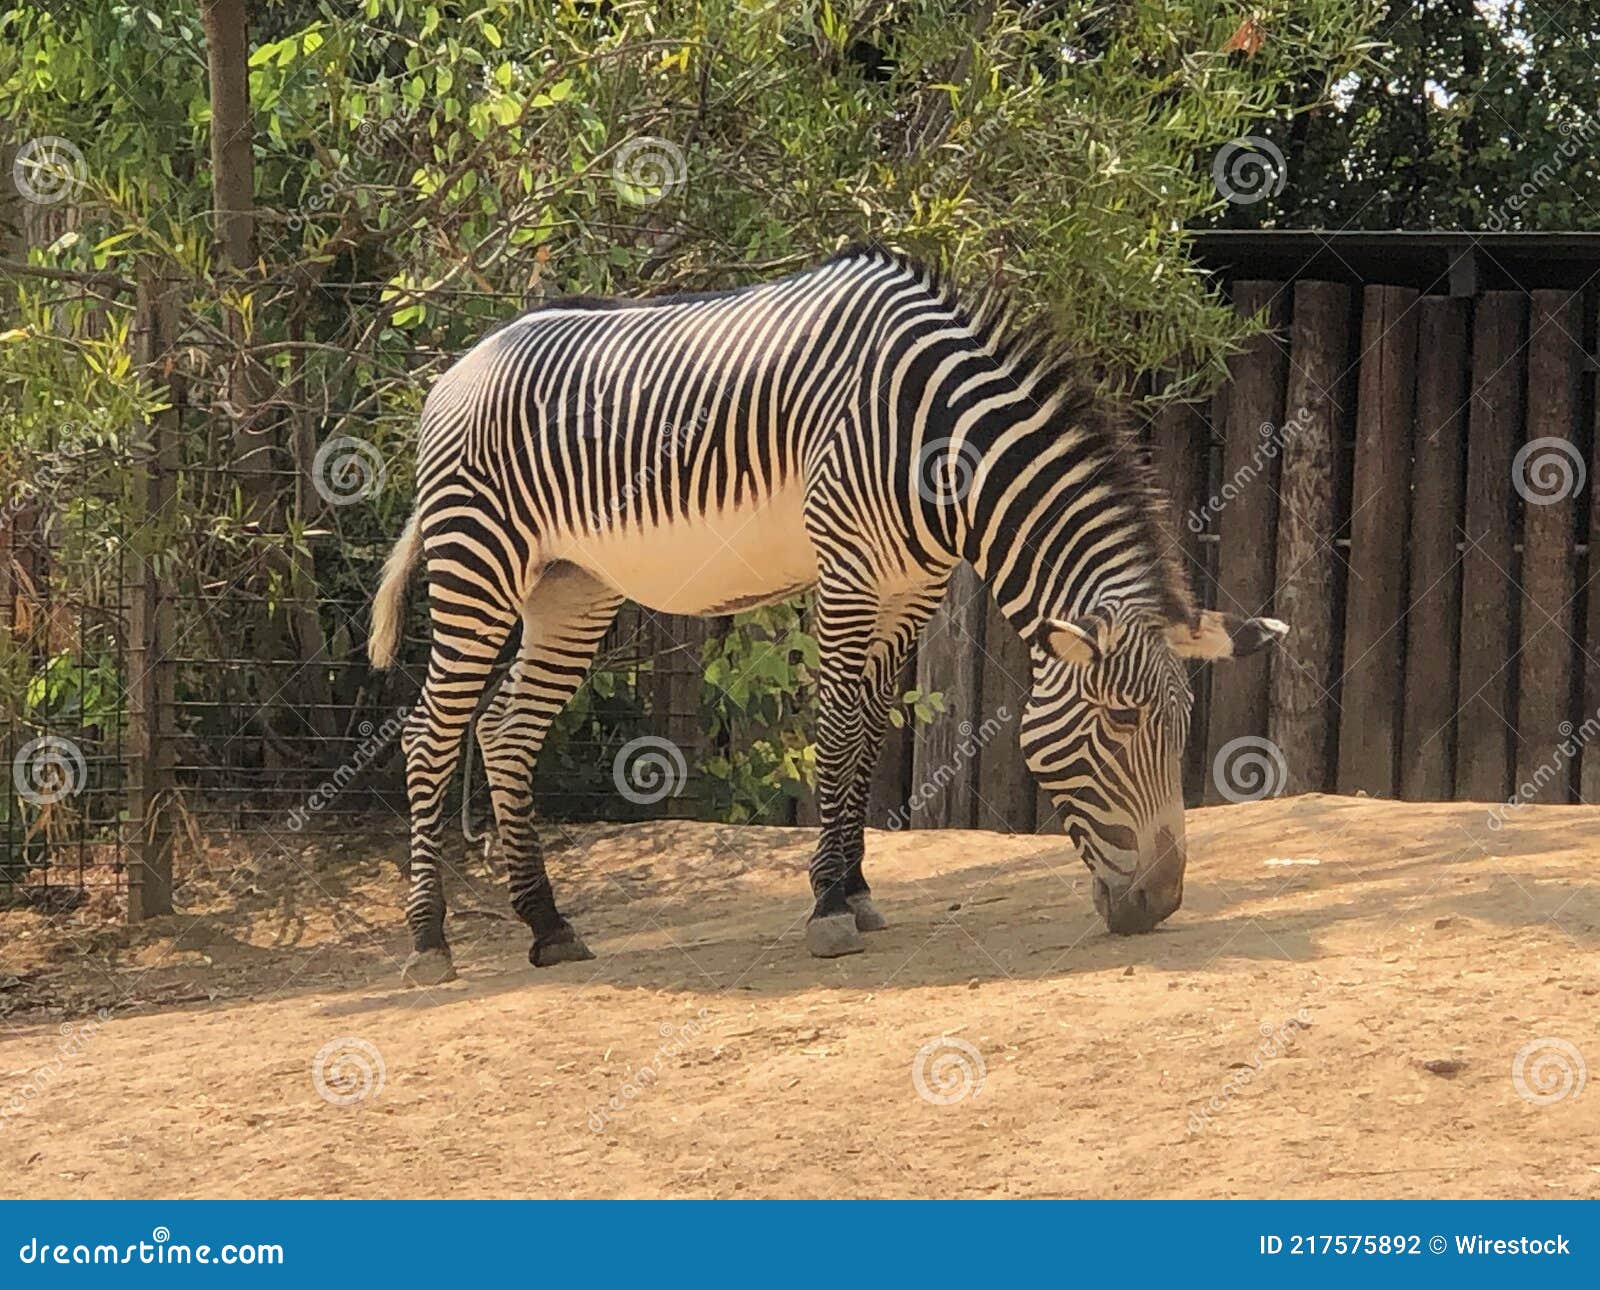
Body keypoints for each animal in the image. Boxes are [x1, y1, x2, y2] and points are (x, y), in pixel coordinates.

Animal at [368, 245, 1288, 984]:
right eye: (1120, 722)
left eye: (1183, 722)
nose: (1161, 905)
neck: (939, 442)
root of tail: (459, 363)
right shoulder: (846, 568)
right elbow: (840, 727)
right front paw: (827, 906)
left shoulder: (912, 586)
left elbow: (875, 730)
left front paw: (856, 887)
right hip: (480, 559)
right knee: (431, 734)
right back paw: (429, 942)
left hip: (572, 585)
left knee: (505, 732)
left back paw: (548, 927)